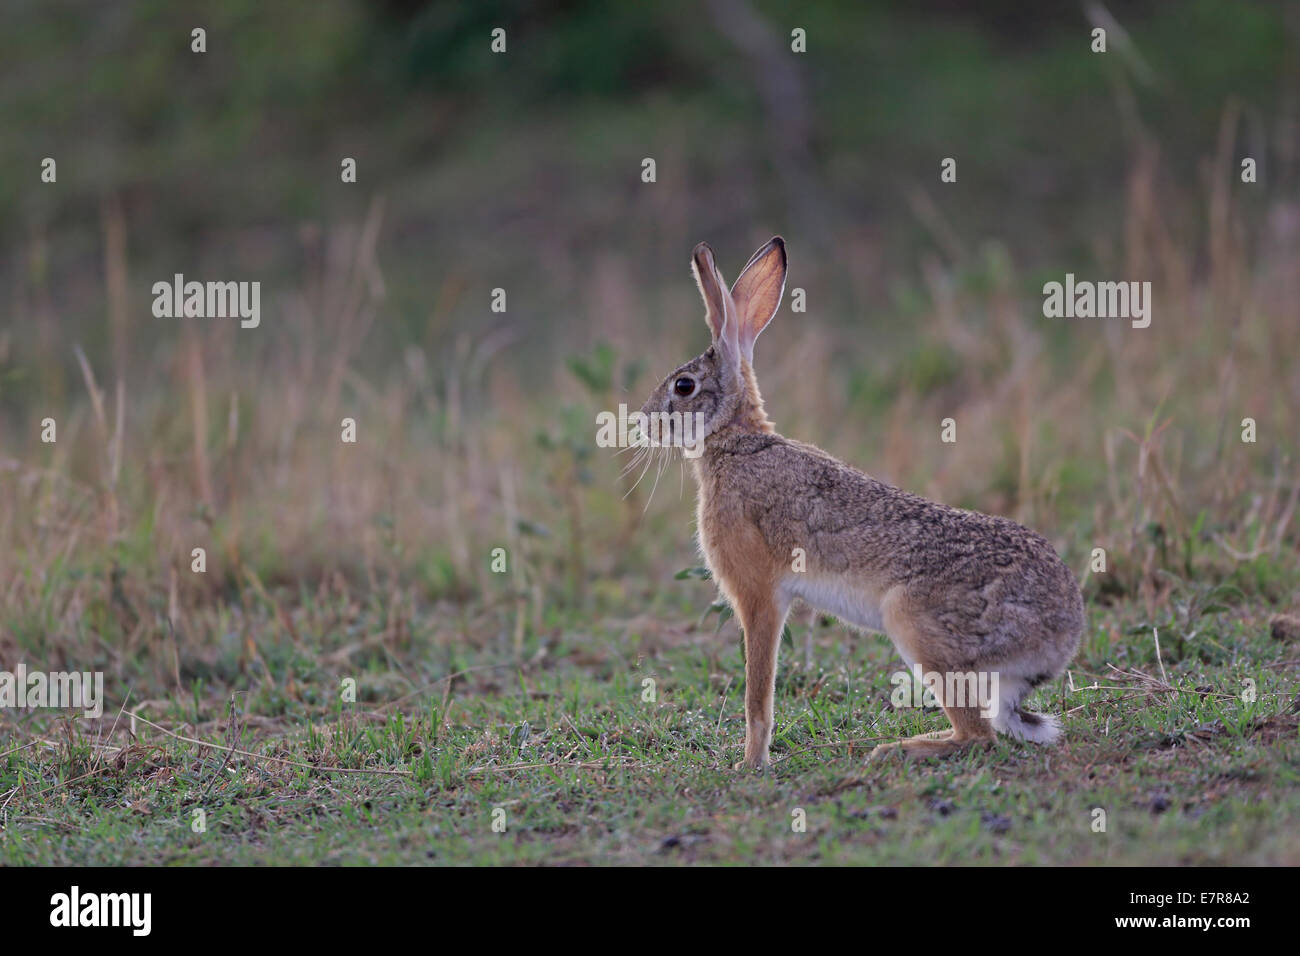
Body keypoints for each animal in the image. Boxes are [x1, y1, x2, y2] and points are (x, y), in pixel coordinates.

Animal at [638, 237, 1085, 770]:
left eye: (683, 386)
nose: (643, 421)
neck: (736, 441)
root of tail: (1059, 638)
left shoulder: (760, 595)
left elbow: (758, 694)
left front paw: (750, 763)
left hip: (918, 627)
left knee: (978, 736)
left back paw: (898, 748)